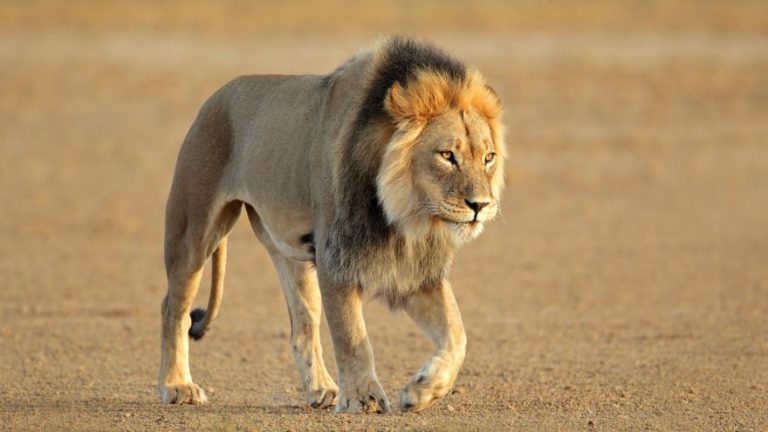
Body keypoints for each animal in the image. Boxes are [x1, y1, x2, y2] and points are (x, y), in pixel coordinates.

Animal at [159, 36, 505, 414]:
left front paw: (421, 389)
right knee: (173, 309)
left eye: (488, 157)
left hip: (291, 255)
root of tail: (217, 96)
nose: (481, 205)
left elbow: (458, 335)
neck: (404, 215)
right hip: (192, 232)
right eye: (447, 156)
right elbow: (351, 334)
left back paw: (321, 390)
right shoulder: (335, 257)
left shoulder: (414, 270)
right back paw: (177, 386)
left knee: (303, 327)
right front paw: (364, 398)